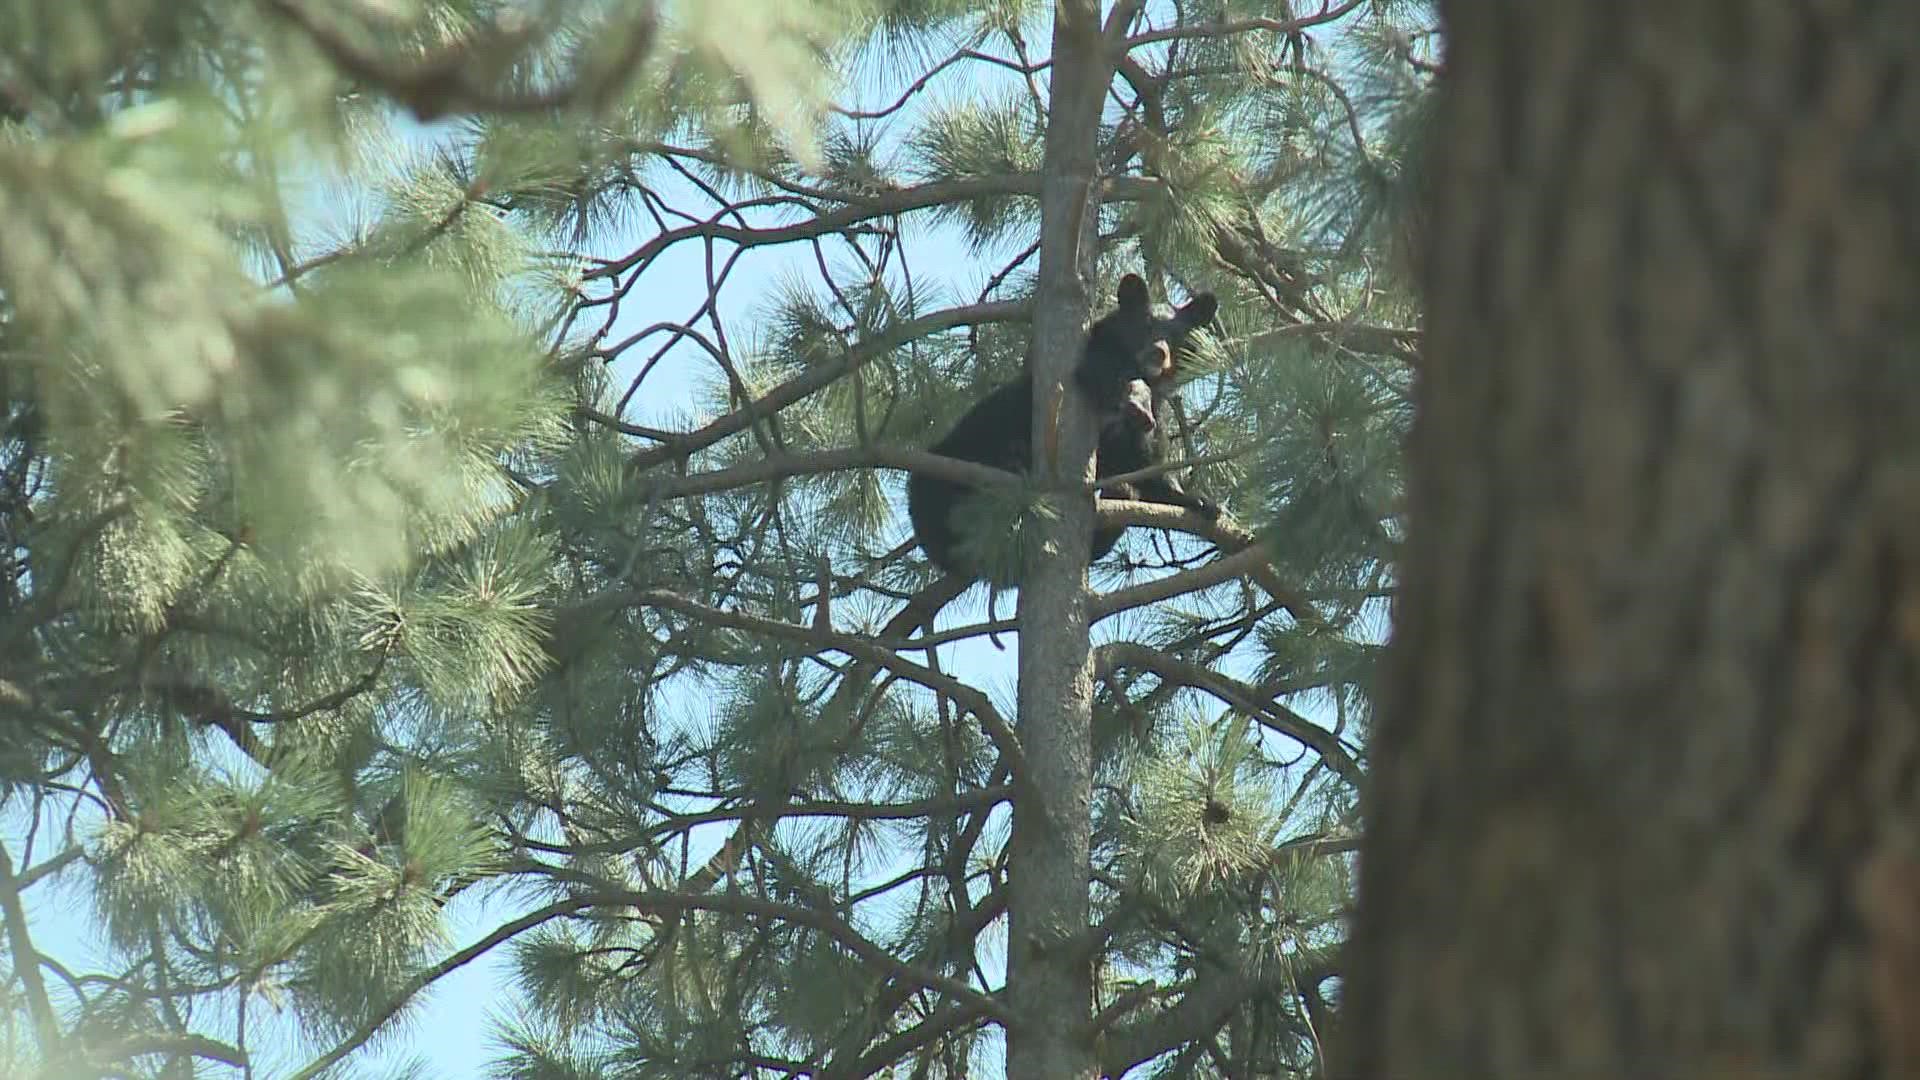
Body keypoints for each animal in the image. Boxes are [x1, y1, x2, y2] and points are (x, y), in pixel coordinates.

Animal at [906, 273, 1220, 589]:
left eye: (1176, 338)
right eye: (1144, 326)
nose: (1159, 352)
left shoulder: (1149, 421)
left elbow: (1148, 464)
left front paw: (1198, 500)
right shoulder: (1094, 359)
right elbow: (1098, 372)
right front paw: (1129, 394)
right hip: (961, 449)